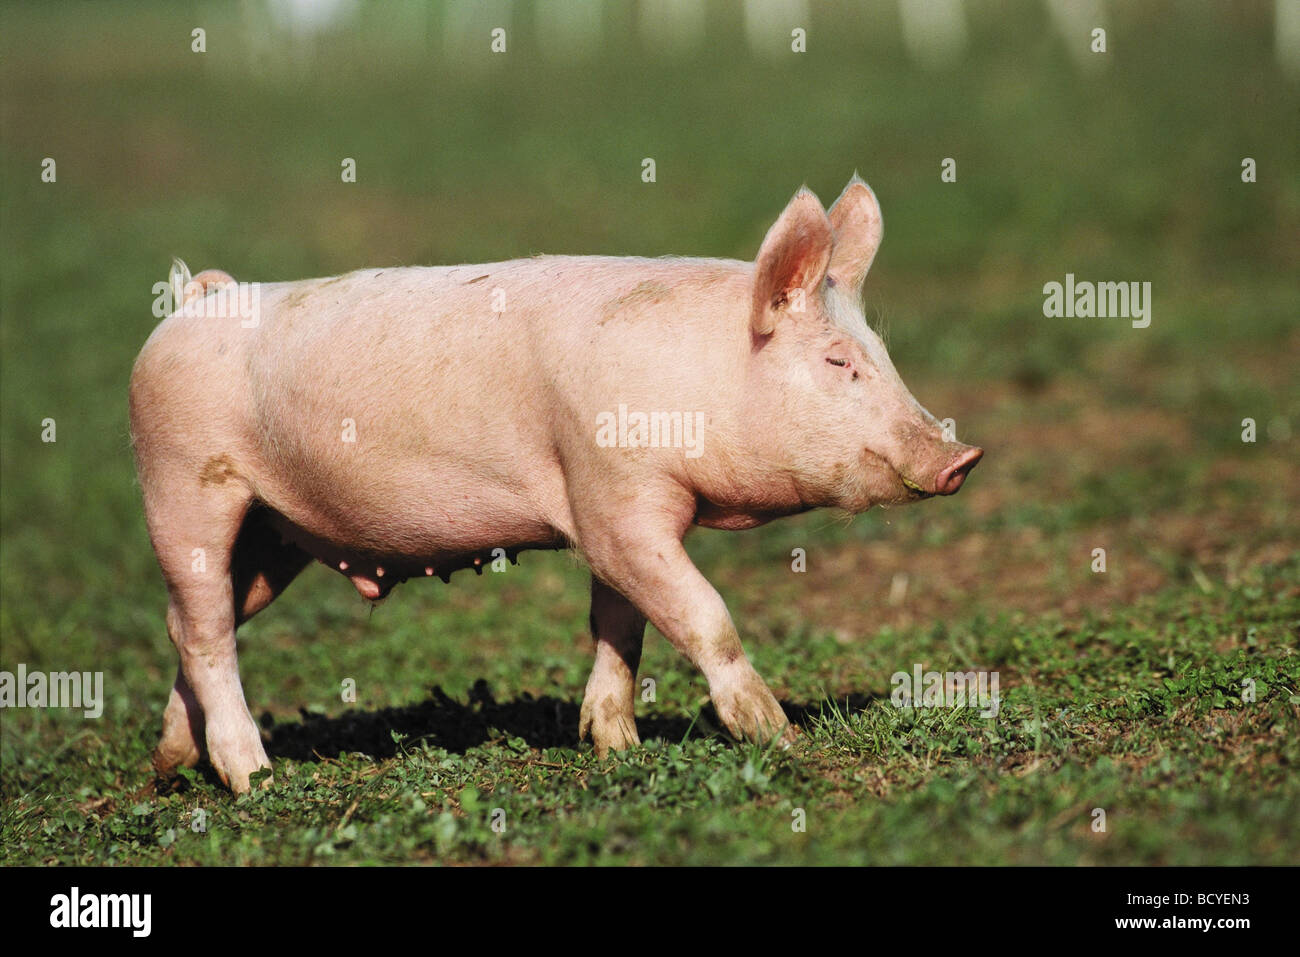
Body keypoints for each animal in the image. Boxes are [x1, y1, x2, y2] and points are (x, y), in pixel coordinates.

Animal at [129, 176, 982, 792]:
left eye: (881, 351)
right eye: (839, 360)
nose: (962, 456)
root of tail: (193, 300)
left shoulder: (606, 513)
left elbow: (622, 625)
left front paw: (615, 746)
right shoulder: (614, 497)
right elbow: (705, 617)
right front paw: (782, 737)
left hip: (275, 534)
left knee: (195, 619)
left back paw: (174, 763)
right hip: (184, 487)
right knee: (203, 628)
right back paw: (253, 778)